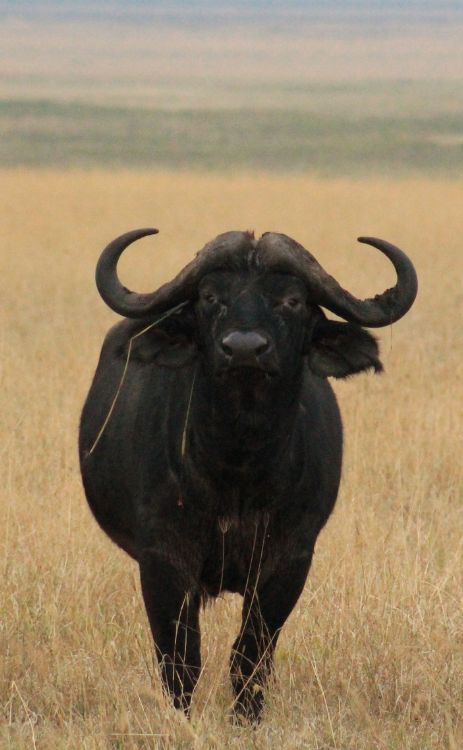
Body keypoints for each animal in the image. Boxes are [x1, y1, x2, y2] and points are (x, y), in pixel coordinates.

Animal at [79, 228, 417, 721]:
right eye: (210, 297)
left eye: (292, 300)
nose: (243, 349)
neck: (238, 467)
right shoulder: (163, 559)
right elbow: (180, 658)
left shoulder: (289, 561)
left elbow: (251, 657)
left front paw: (246, 719)